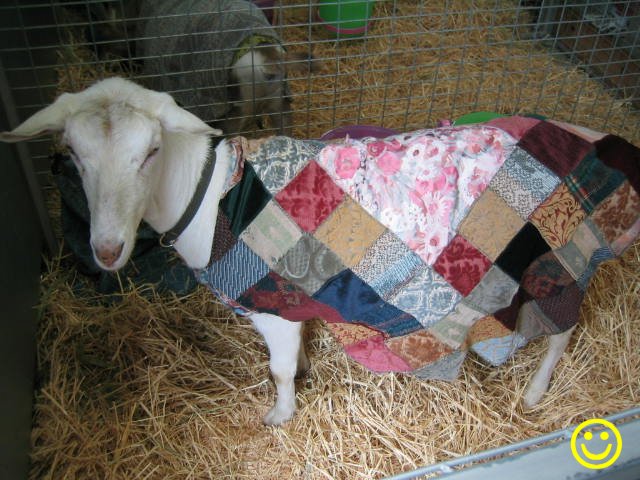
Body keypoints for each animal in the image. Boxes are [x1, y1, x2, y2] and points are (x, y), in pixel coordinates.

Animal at [2, 78, 639, 426]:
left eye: (151, 152)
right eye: (72, 155)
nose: (107, 250)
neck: (211, 194)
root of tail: (601, 141)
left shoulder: (269, 305)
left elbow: (278, 368)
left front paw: (280, 414)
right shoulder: (294, 294)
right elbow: (298, 351)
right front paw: (304, 374)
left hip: (561, 261)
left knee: (562, 333)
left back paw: (535, 392)